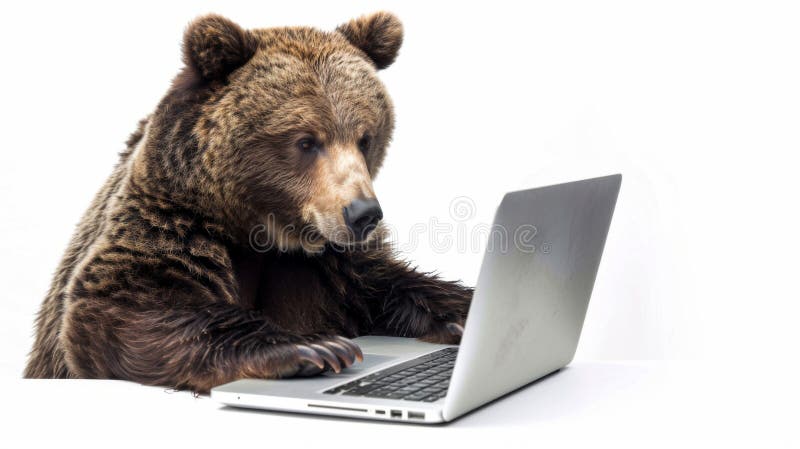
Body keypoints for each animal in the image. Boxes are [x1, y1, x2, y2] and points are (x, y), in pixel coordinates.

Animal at [24, 12, 472, 393]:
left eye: (365, 138)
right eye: (306, 141)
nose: (364, 214)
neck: (260, 228)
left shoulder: (333, 267)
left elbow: (394, 284)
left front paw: (463, 313)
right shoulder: (171, 222)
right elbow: (124, 303)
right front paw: (314, 348)